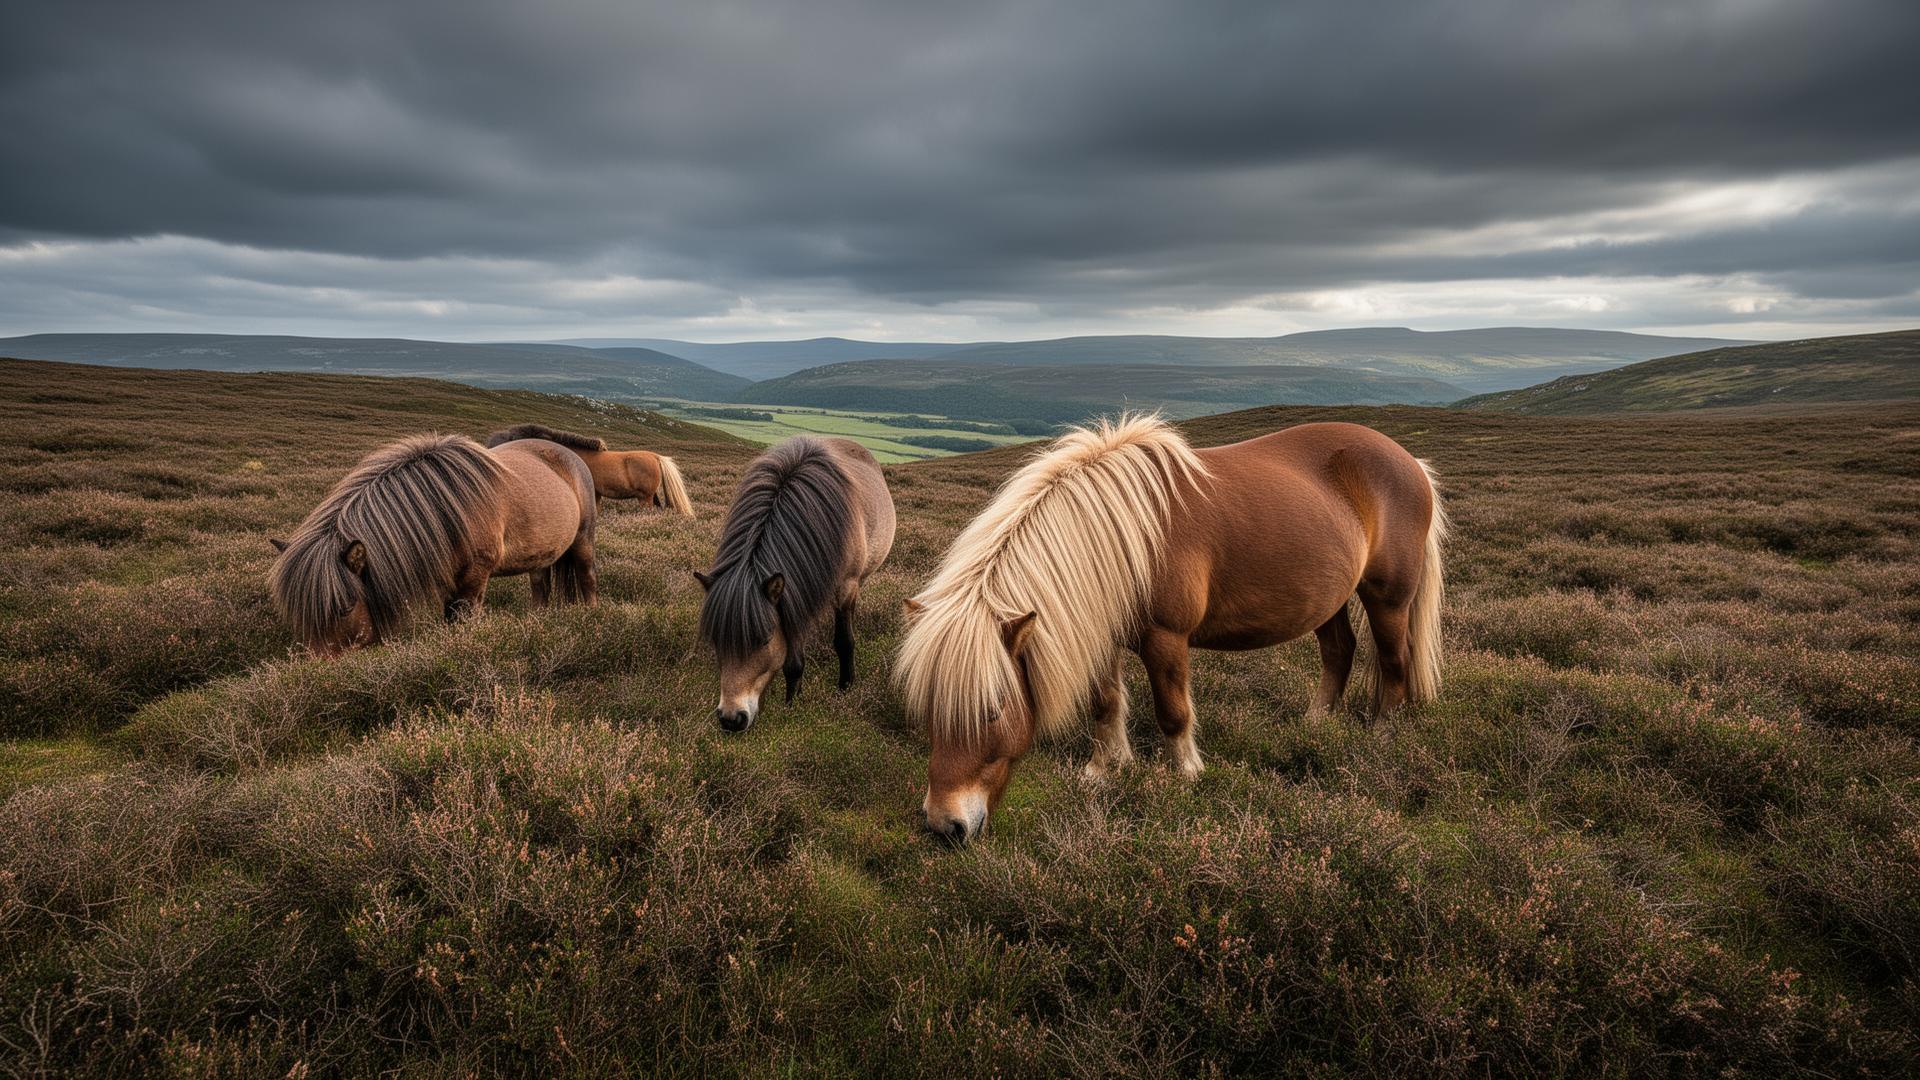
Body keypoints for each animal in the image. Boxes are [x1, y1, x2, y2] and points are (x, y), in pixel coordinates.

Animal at [268, 432, 598, 656]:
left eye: (345, 607)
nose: (318, 670)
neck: (450, 509)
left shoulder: (474, 577)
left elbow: (462, 619)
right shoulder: (448, 580)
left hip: (583, 542)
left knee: (588, 580)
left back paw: (591, 620)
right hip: (540, 557)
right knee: (541, 589)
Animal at [695, 436, 894, 732]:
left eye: (764, 639)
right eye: (716, 639)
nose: (731, 719)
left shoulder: (846, 586)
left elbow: (844, 640)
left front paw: (844, 687)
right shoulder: (793, 596)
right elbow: (793, 654)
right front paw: (793, 699)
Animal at [896, 414, 1446, 844]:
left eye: (992, 711)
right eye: (929, 708)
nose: (945, 826)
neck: (1125, 534)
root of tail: (1412, 463)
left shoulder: (1167, 638)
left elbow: (1173, 712)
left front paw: (1184, 775)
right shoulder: (1103, 633)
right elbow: (1105, 703)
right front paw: (1105, 770)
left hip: (1388, 598)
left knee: (1393, 662)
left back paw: (1381, 736)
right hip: (1328, 598)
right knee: (1339, 651)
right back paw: (1315, 724)